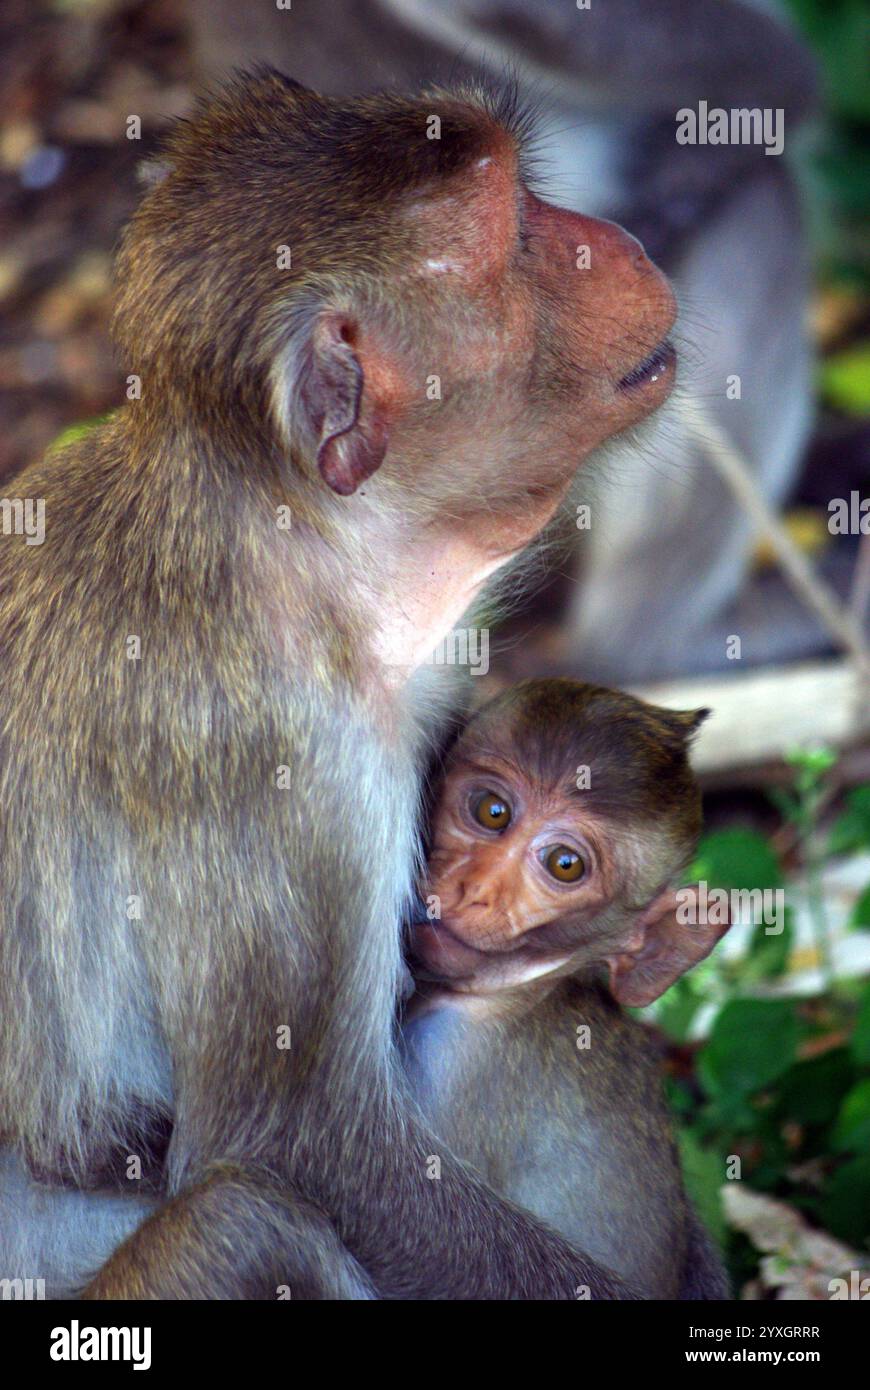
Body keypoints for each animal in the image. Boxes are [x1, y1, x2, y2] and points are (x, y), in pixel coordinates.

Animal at [0, 69, 679, 1299]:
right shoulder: (268, 756)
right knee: (242, 1222)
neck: (295, 552)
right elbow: (302, 1139)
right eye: (514, 231)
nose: (622, 240)